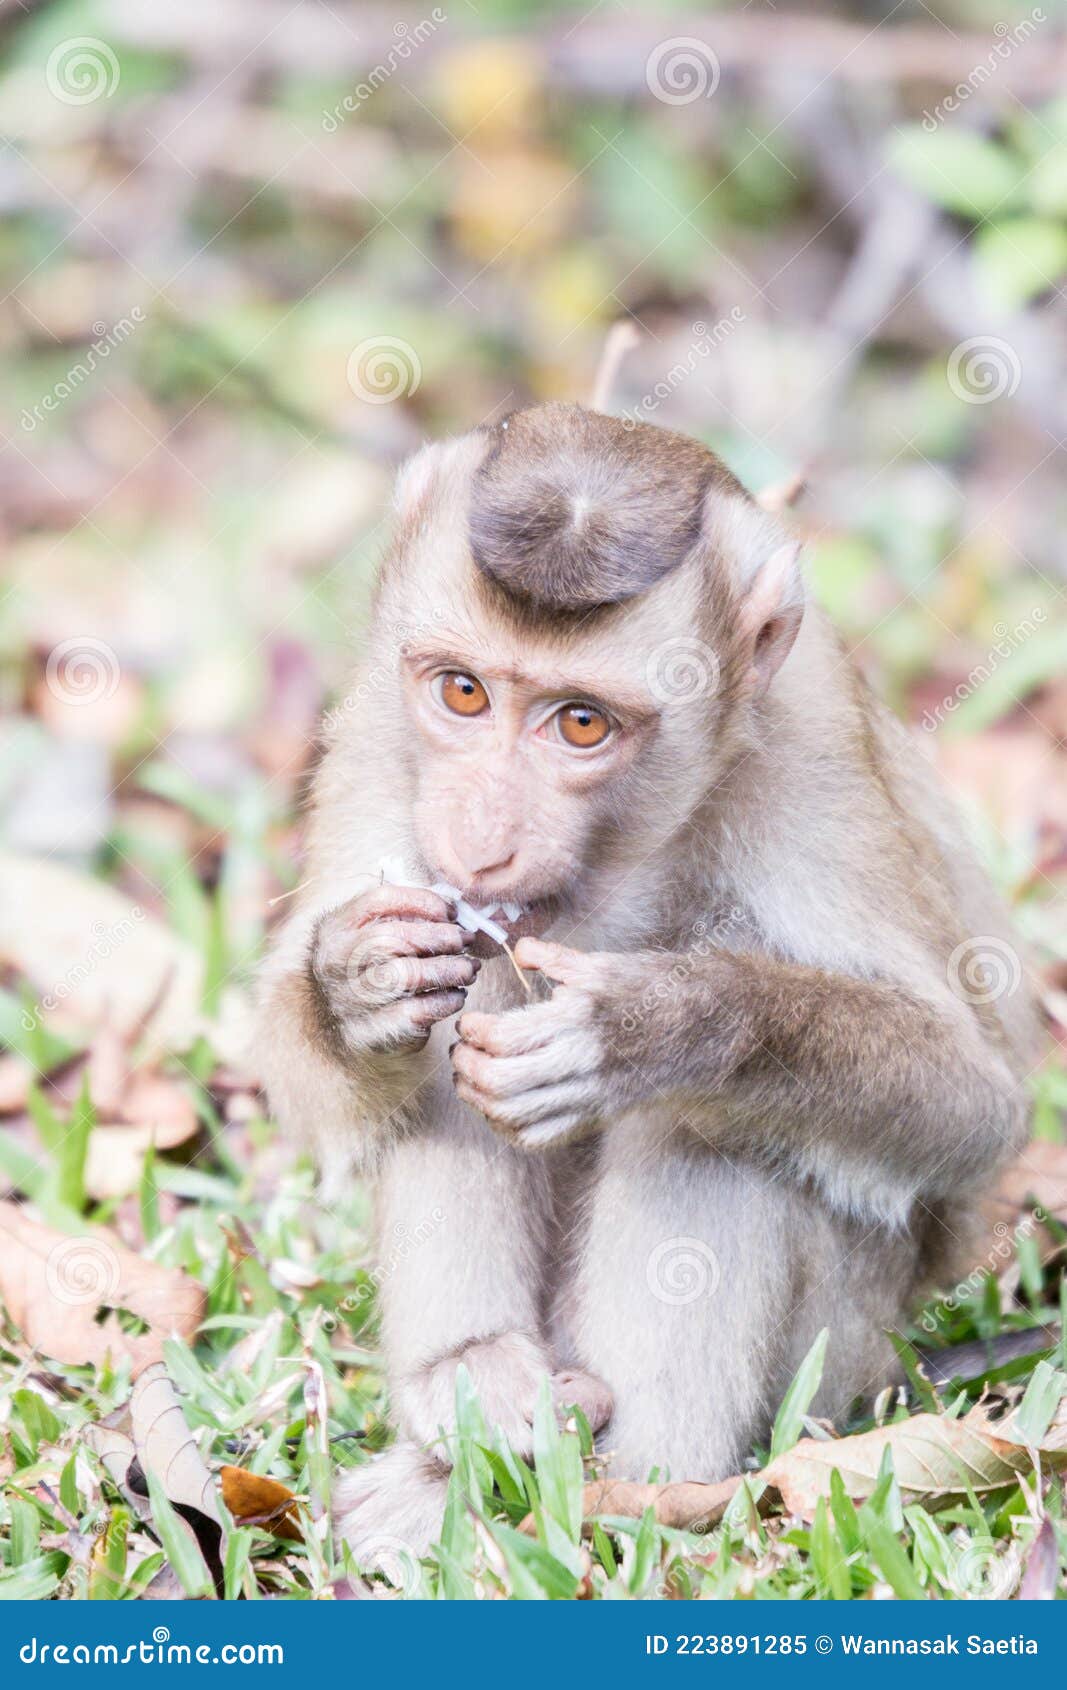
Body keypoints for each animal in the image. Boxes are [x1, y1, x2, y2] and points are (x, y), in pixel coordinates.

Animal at [256, 402, 1042, 1564]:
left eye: (581, 723)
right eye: (460, 691)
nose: (480, 842)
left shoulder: (810, 749)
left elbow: (974, 1103)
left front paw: (660, 1026)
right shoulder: (374, 723)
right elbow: (311, 1057)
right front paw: (358, 984)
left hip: (847, 1358)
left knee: (711, 1133)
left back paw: (639, 1494)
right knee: (457, 1048)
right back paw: (478, 1406)